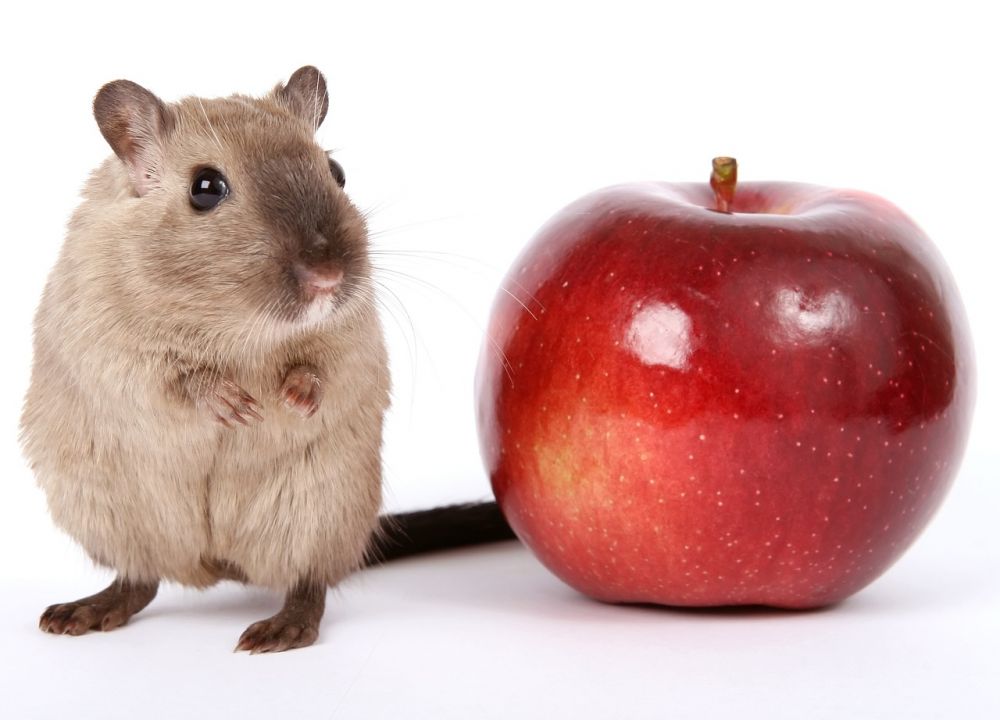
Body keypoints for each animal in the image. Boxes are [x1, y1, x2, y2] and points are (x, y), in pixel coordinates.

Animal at [21, 67, 400, 653]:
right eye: (205, 188)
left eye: (336, 173)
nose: (328, 278)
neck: (236, 324)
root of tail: (219, 564)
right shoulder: (112, 345)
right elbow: (172, 379)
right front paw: (235, 405)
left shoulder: (351, 336)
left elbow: (327, 369)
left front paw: (292, 396)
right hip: (111, 513)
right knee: (140, 580)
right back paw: (77, 614)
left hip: (320, 510)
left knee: (308, 581)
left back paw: (278, 631)